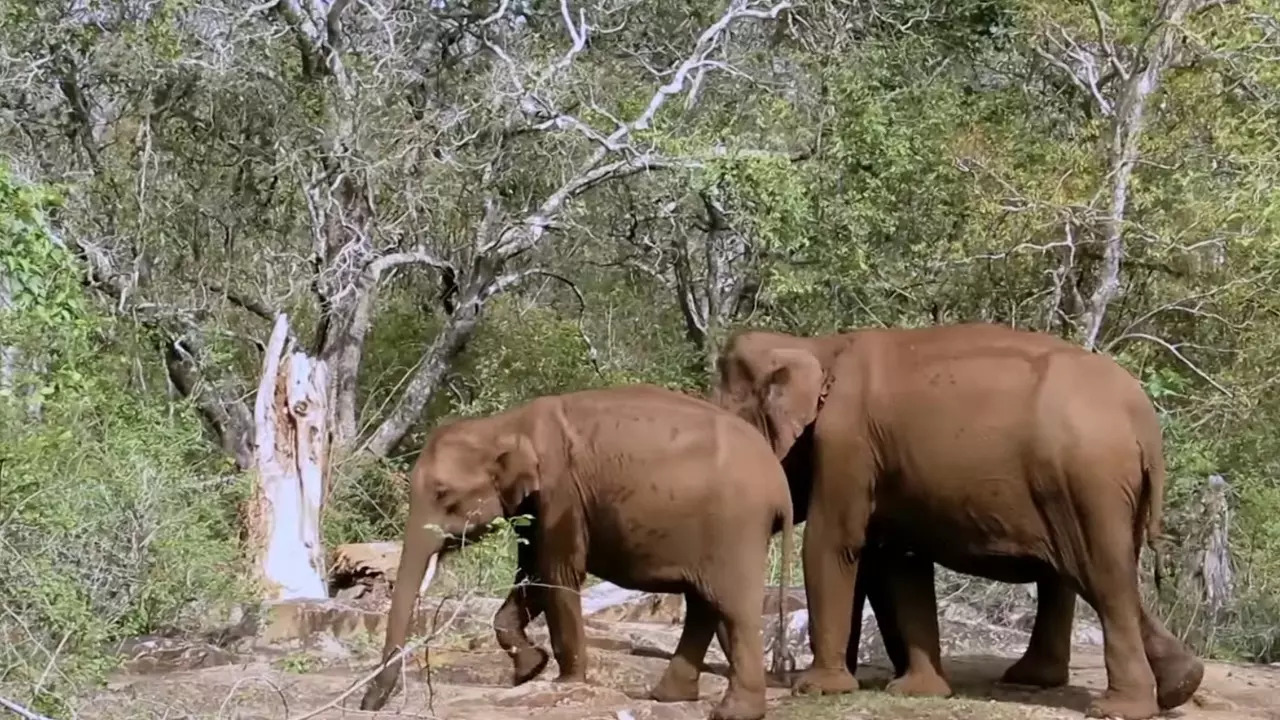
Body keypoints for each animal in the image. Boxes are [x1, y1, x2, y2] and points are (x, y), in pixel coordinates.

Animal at [358, 383, 796, 720]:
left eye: (442, 494)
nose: (367, 704)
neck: (504, 424)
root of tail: (779, 482)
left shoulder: (560, 492)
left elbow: (558, 574)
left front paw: (565, 682)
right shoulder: (534, 506)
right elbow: (533, 575)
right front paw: (529, 671)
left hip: (735, 526)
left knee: (733, 606)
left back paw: (733, 712)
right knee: (704, 603)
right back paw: (667, 697)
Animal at [710, 322, 1204, 720]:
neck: (818, 345)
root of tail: (1144, 424)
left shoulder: (846, 441)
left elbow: (835, 543)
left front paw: (819, 688)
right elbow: (901, 562)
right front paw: (917, 691)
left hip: (1090, 482)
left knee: (1101, 577)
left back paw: (1118, 707)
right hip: (1097, 490)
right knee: (1080, 573)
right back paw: (1174, 683)